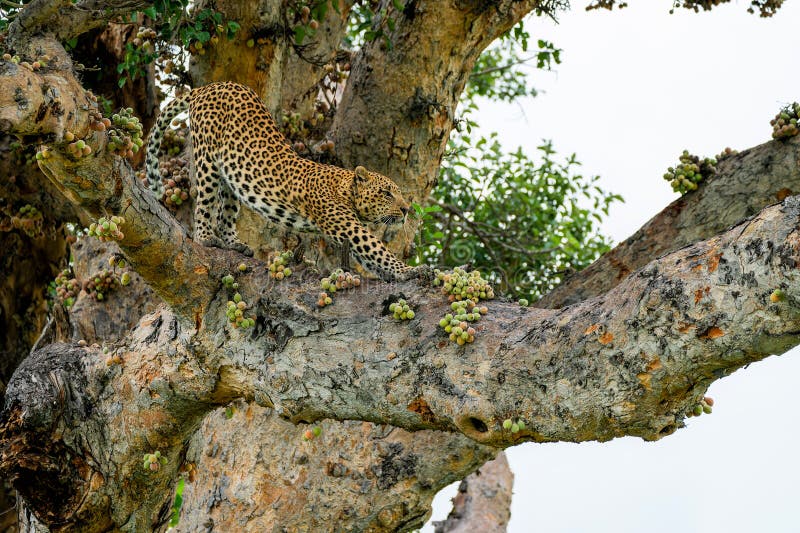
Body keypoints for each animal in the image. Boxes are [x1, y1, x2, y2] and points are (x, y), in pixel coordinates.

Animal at [145, 81, 424, 281]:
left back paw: (235, 244)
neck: (346, 190)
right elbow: (377, 250)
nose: (406, 209)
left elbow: (372, 258)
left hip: (232, 174)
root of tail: (206, 87)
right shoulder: (348, 227)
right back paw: (205, 237)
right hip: (207, 159)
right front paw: (411, 271)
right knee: (204, 201)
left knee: (227, 211)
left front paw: (399, 275)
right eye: (387, 193)